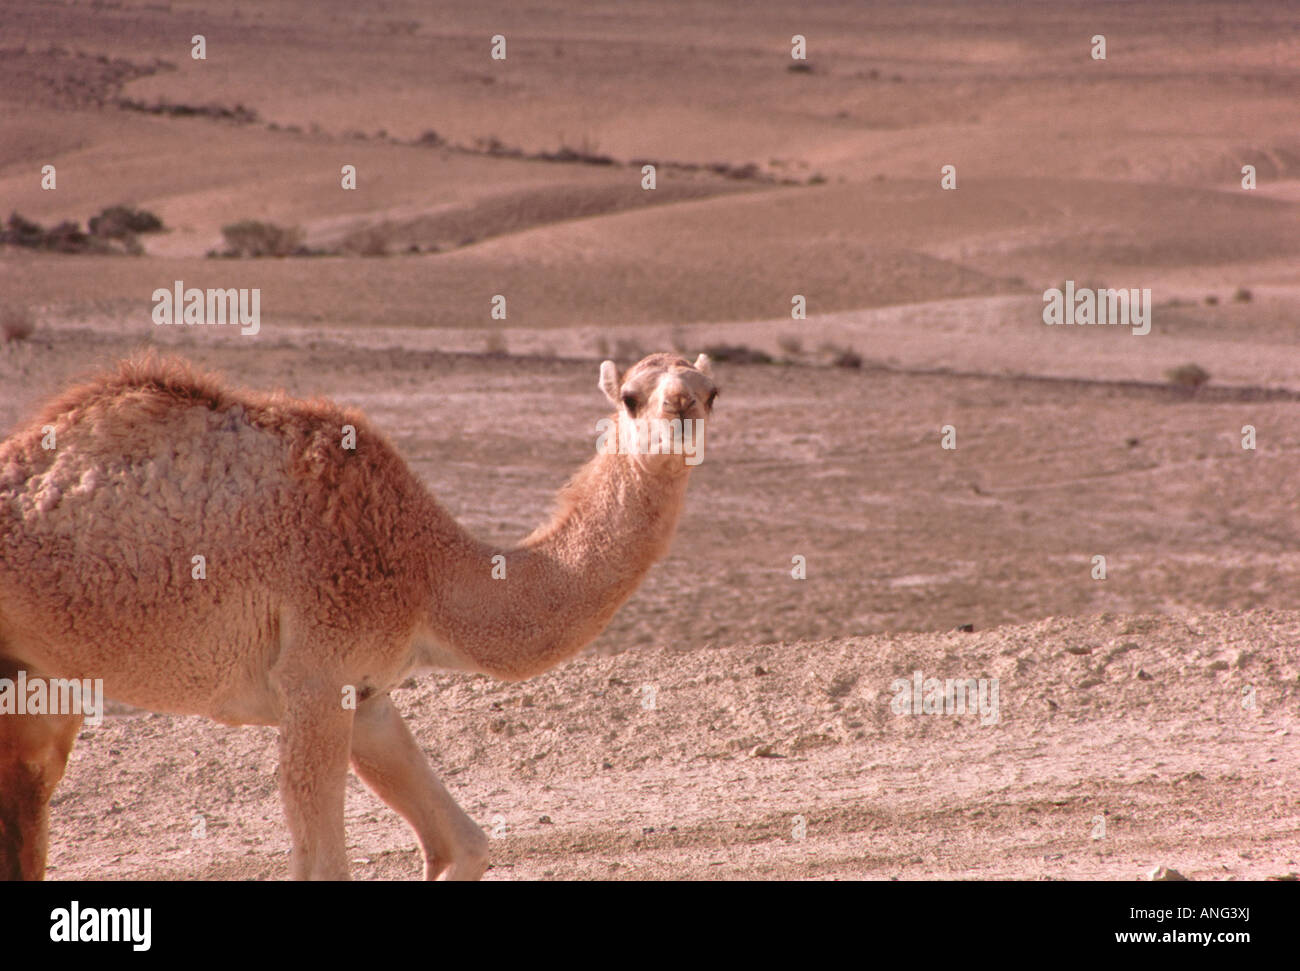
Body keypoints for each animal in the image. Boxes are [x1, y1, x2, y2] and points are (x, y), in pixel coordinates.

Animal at [0, 350, 716, 880]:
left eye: (713, 391)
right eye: (631, 395)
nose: (682, 407)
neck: (426, 574)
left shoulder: (367, 695)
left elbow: (464, 844)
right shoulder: (316, 677)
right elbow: (324, 867)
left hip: (36, 683)